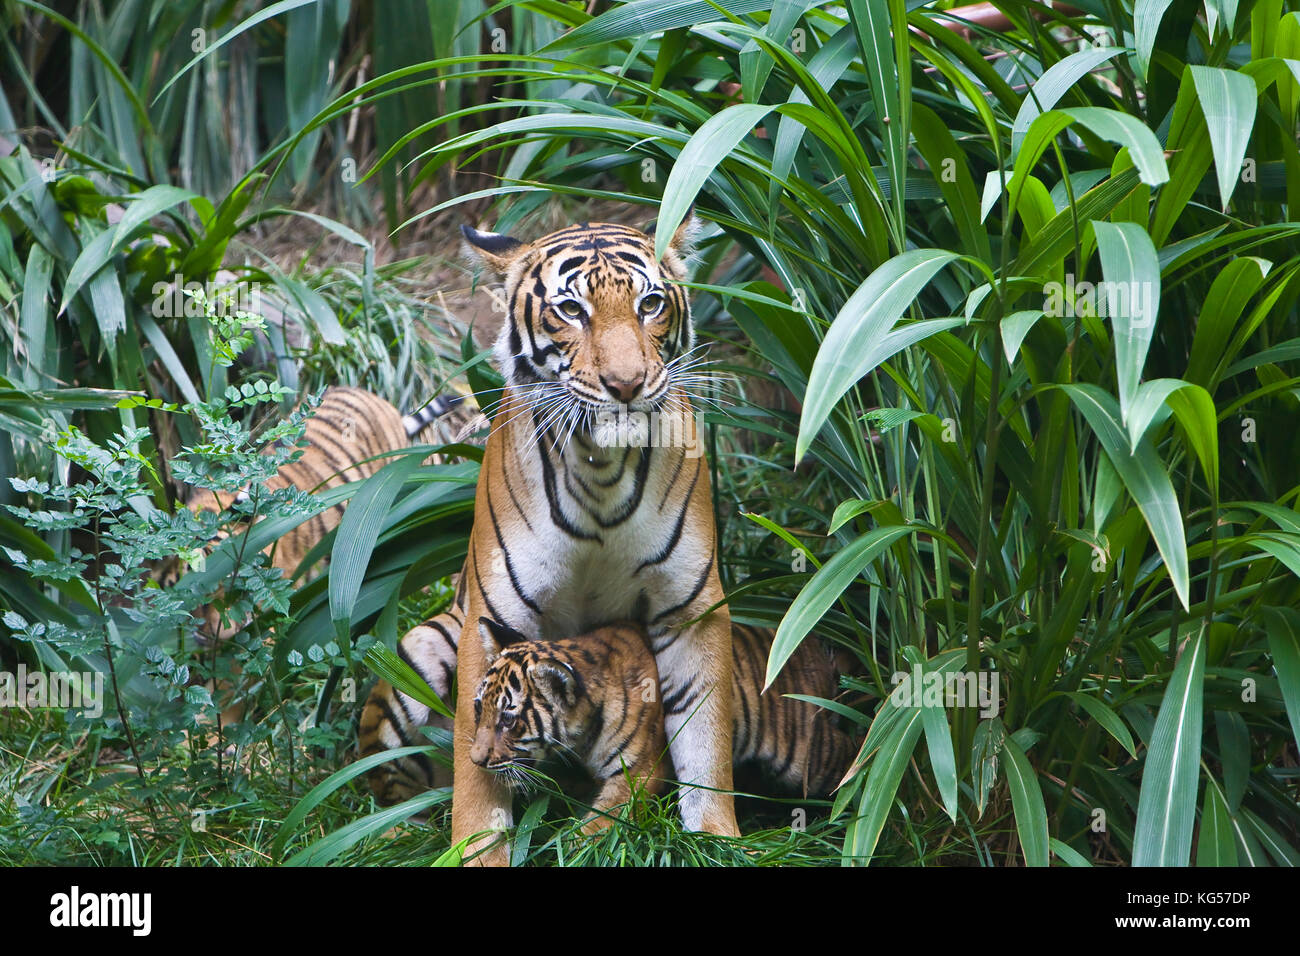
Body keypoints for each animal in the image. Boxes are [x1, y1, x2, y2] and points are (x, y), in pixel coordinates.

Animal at [362, 216, 738, 865]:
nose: (627, 384)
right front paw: (477, 851)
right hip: (419, 648)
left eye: (650, 303)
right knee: (385, 784)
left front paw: (720, 840)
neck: (602, 470)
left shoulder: (690, 608)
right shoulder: (494, 616)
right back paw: (392, 834)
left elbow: (707, 745)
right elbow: (476, 774)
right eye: (570, 310)